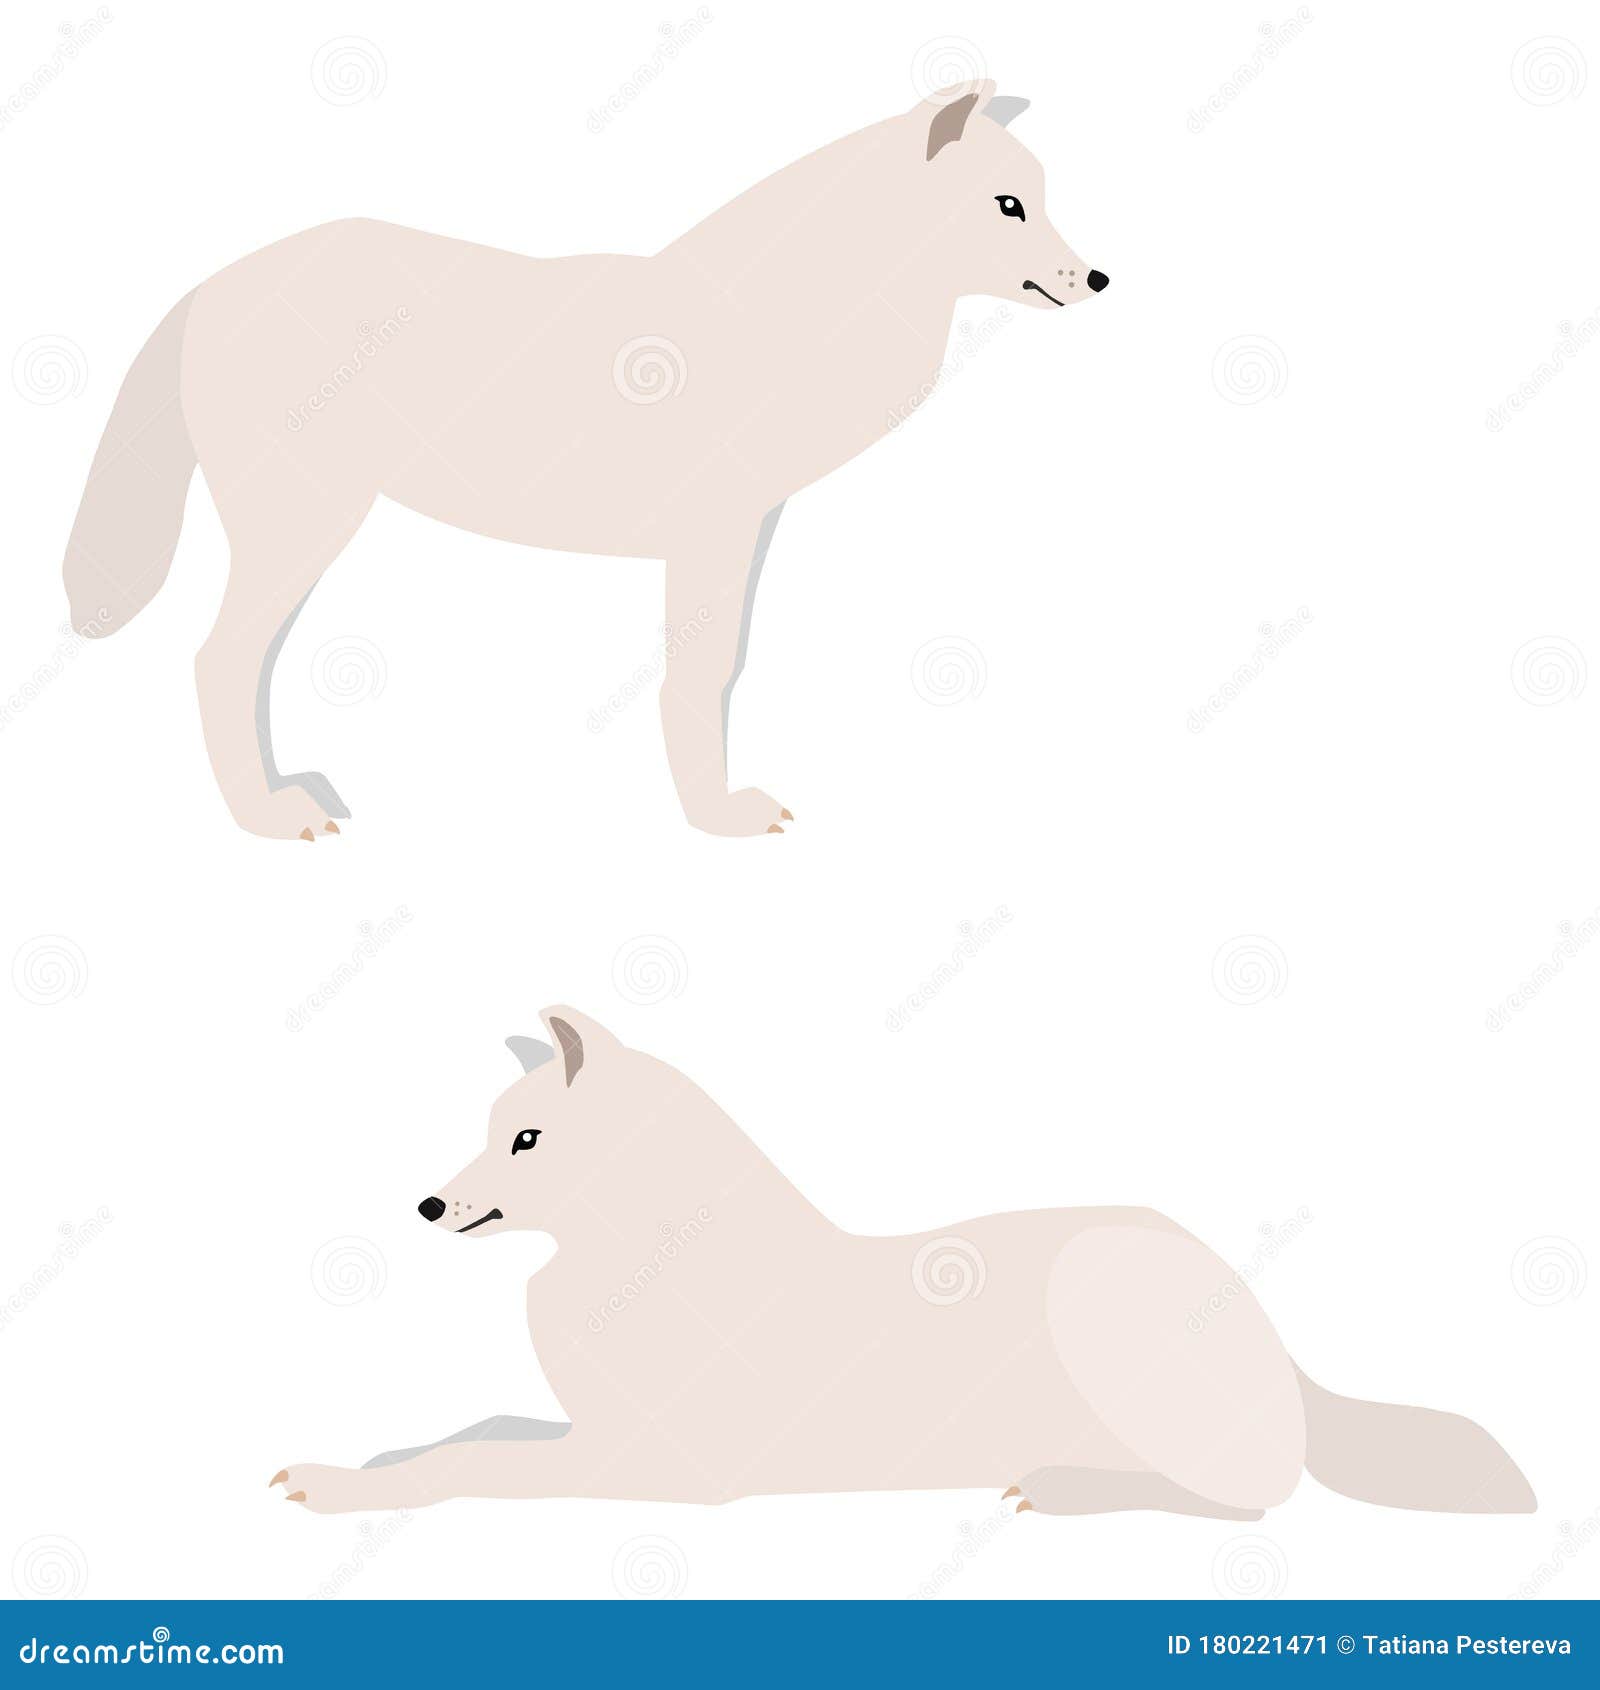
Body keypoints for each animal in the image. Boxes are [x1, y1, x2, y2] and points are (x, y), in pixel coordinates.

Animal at [62, 81, 1107, 842]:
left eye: (1038, 200)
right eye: (1010, 205)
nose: (1097, 277)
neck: (788, 314)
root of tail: (206, 285)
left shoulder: (746, 535)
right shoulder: (712, 540)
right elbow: (703, 677)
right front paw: (715, 821)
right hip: (305, 527)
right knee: (217, 661)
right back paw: (272, 819)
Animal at [270, 1008, 1535, 1518]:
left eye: (526, 1137)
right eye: (493, 1132)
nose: (427, 1203)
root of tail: (1265, 1321)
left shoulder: (659, 1462)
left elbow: (468, 1462)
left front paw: (338, 1487)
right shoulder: (594, 1429)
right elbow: (472, 1429)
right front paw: (366, 1456)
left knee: (1255, 1494)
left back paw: (1065, 1487)